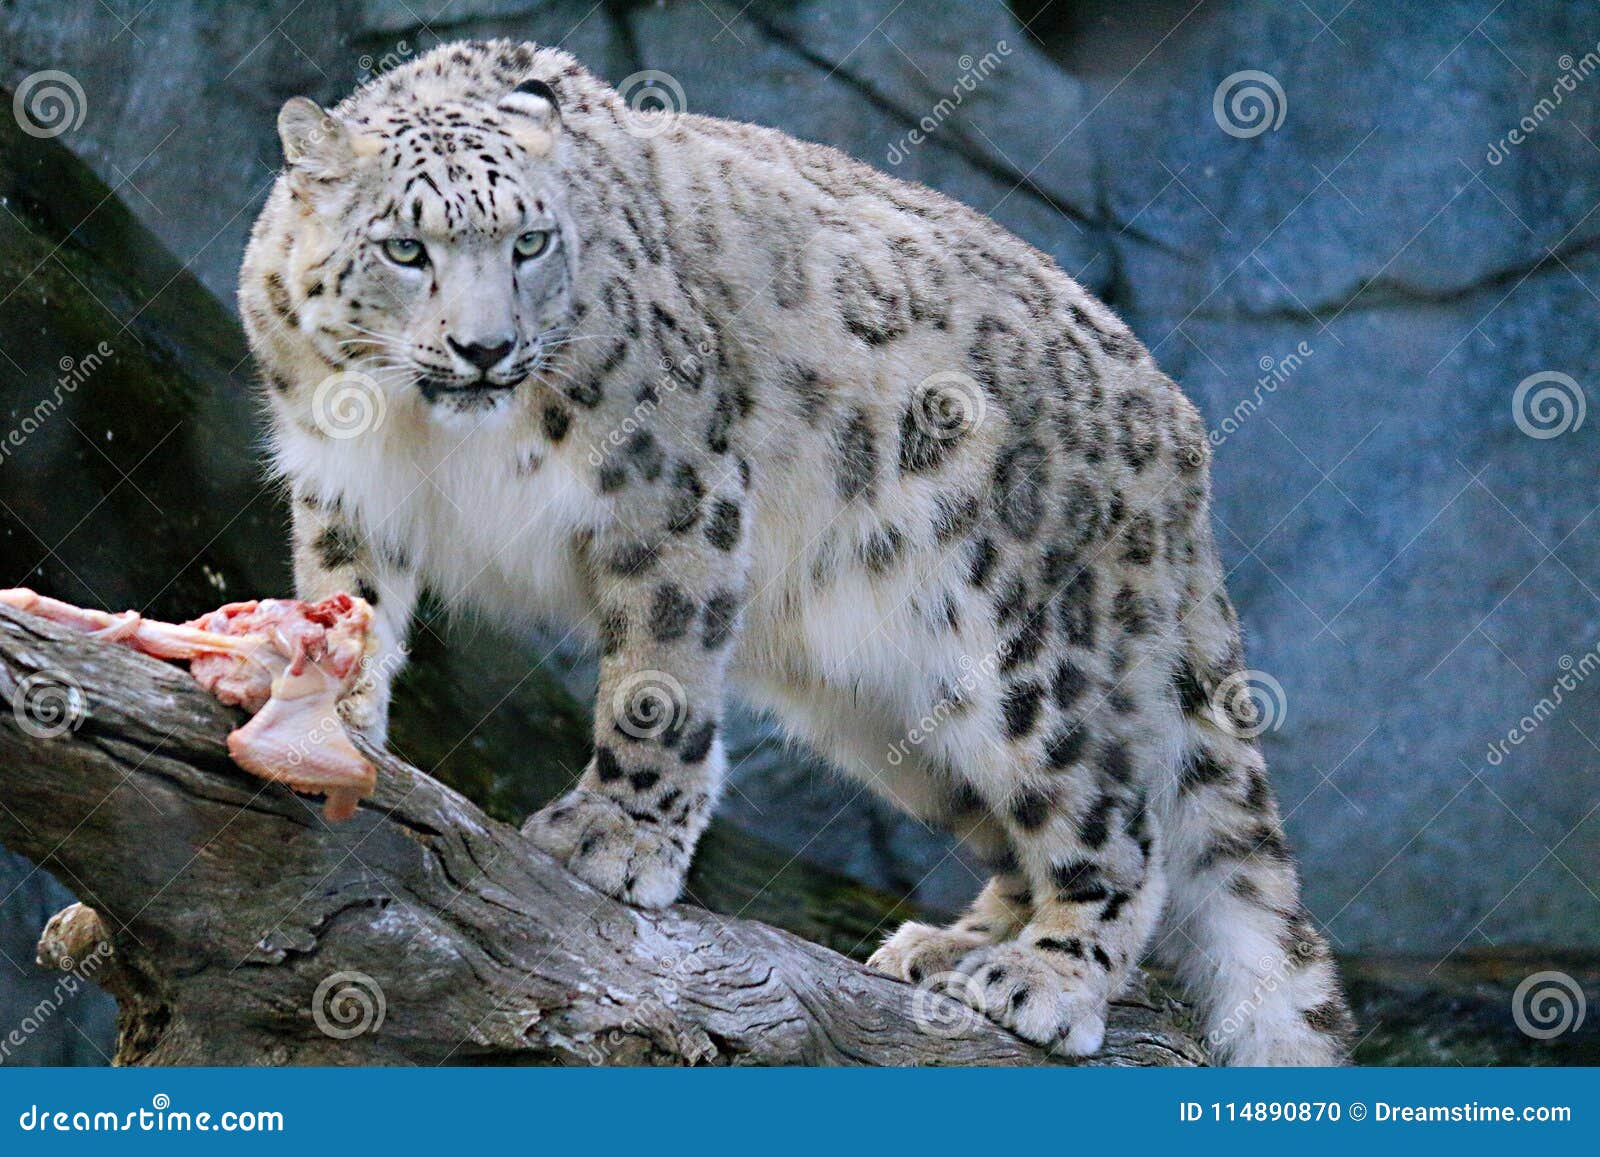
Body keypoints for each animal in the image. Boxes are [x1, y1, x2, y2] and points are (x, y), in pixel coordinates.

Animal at [239, 38, 1353, 1065]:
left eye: (530, 243)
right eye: (405, 248)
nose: (484, 349)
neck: (417, 429)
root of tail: (1178, 430)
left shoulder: (670, 482)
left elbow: (657, 682)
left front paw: (614, 836)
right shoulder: (344, 484)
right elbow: (349, 597)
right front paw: (334, 717)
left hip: (1036, 656)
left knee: (1116, 817)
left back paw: (1044, 979)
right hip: (895, 710)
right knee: (1012, 823)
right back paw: (947, 946)